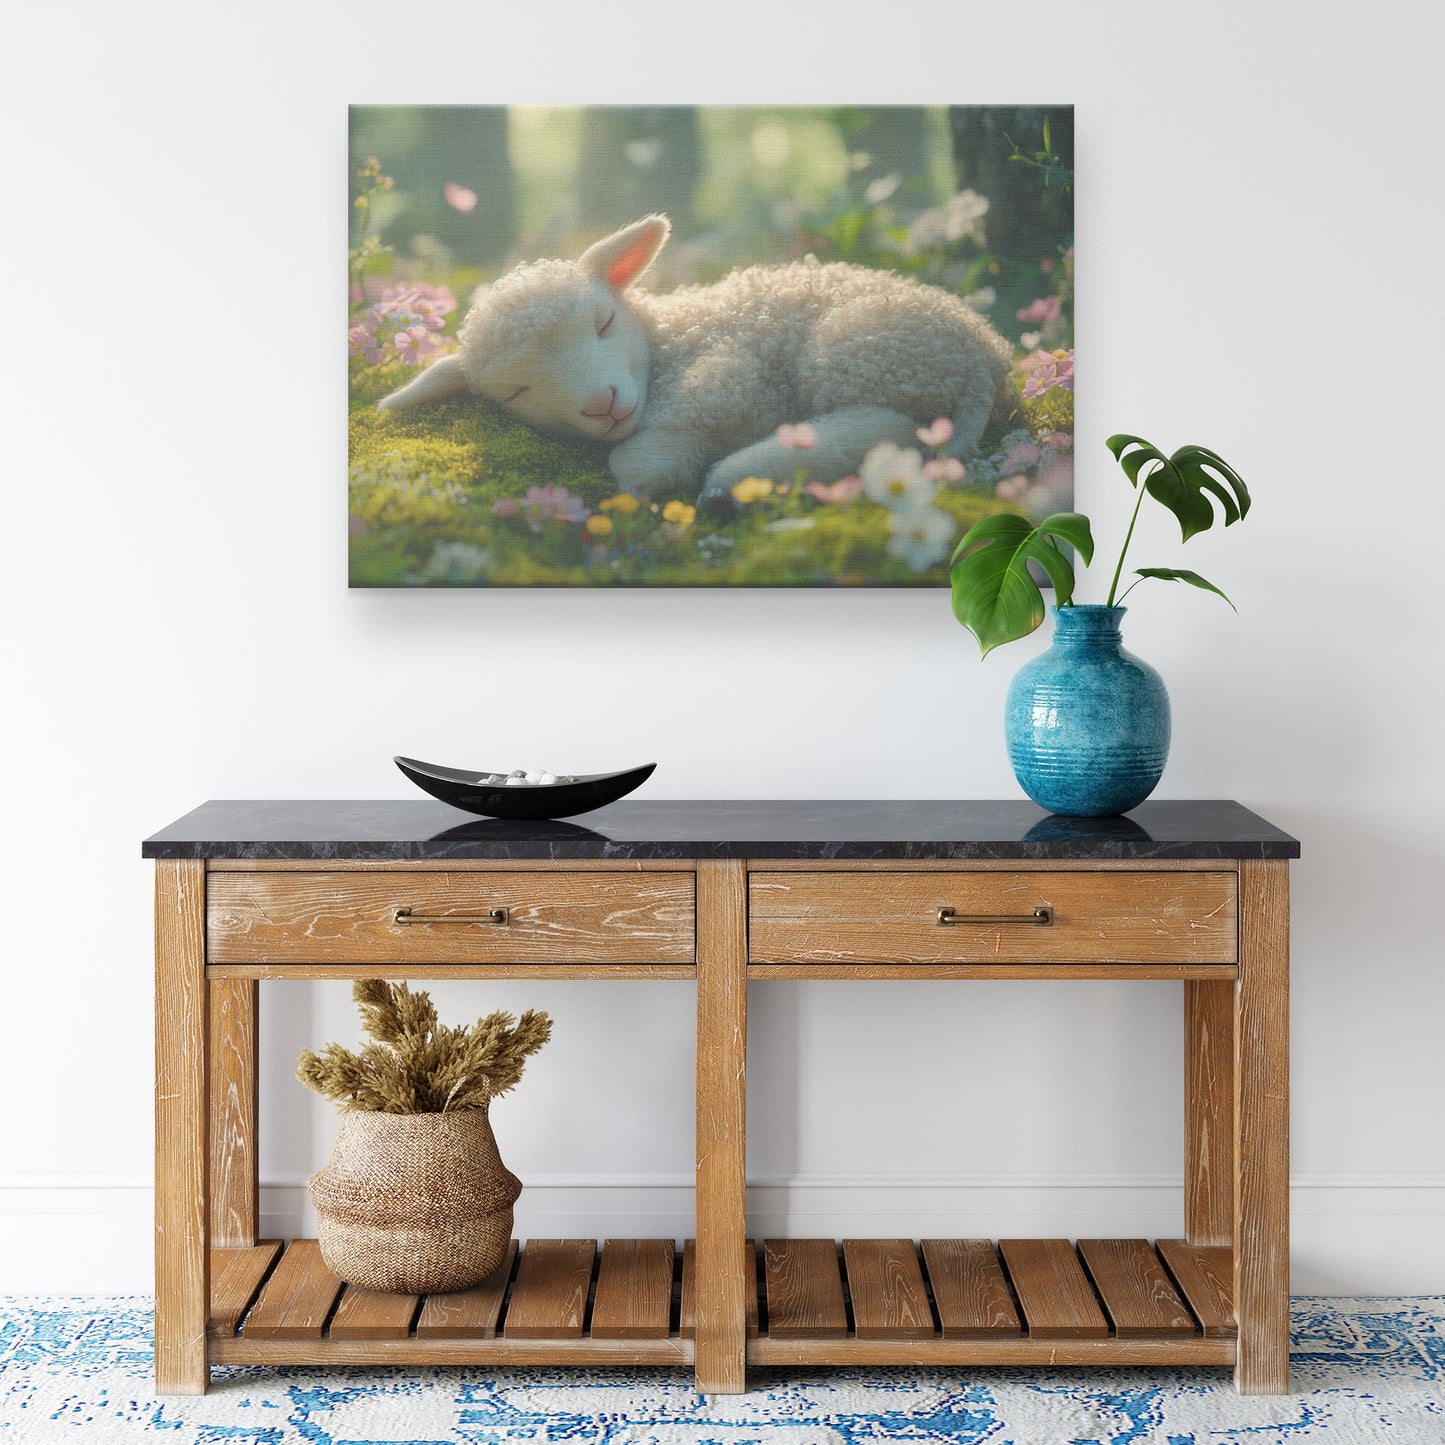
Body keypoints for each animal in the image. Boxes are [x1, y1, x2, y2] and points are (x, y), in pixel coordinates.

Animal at [377, 214, 1014, 508]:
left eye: (604, 322)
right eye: (516, 391)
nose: (603, 405)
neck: (669, 335)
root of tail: (986, 355)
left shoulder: (731, 377)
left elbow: (642, 454)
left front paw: (648, 477)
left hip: (856, 351)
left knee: (893, 426)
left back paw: (736, 479)